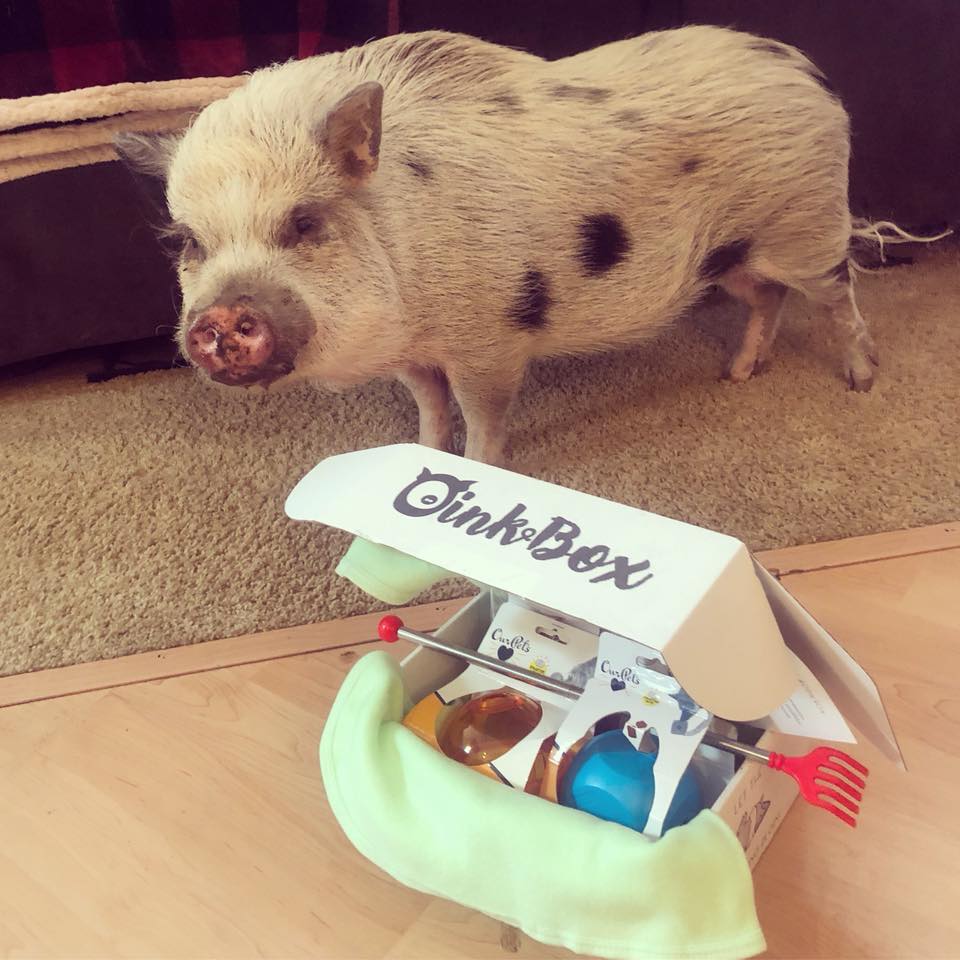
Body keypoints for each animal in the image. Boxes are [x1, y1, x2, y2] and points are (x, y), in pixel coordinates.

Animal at [116, 26, 878, 467]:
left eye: (304, 223)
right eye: (188, 242)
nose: (221, 315)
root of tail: (807, 72)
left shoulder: (492, 340)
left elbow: (483, 416)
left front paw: (477, 469)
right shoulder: (414, 352)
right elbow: (429, 406)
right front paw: (423, 452)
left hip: (809, 227)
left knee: (839, 297)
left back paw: (861, 383)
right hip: (730, 257)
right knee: (768, 295)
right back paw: (738, 376)